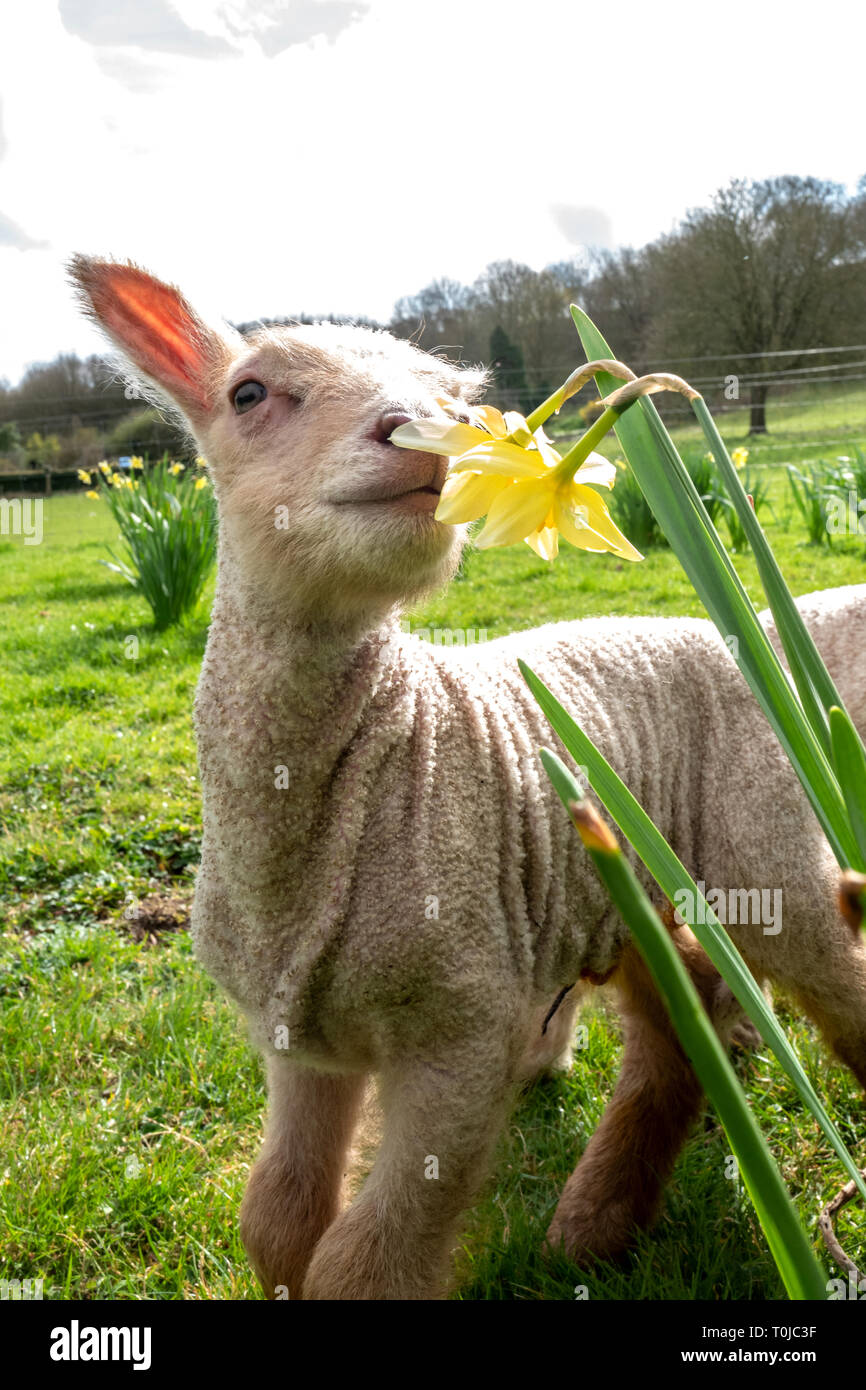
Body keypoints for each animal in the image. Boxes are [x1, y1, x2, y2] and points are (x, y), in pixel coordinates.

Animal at [70, 255, 866, 1301]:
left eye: (457, 405)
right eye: (248, 393)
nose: (413, 432)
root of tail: (745, 629)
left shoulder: (464, 1026)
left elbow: (364, 1263)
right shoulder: (296, 1035)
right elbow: (277, 1219)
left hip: (767, 850)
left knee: (830, 986)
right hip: (628, 887)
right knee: (679, 1031)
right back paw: (593, 1225)